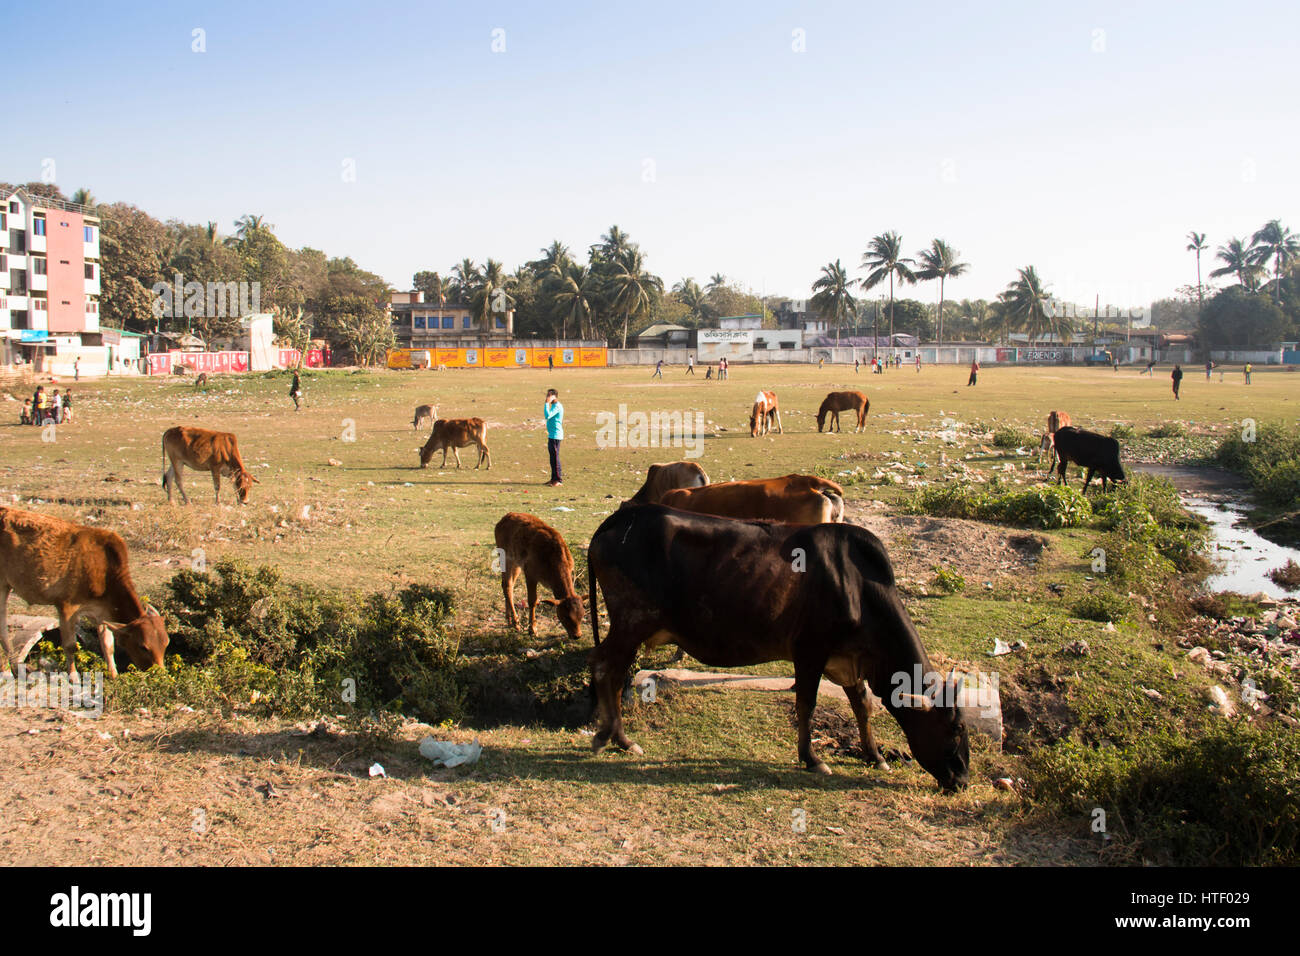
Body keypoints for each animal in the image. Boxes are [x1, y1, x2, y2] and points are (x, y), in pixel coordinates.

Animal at [0, 506, 169, 679]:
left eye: (166, 643)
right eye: (143, 647)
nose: (160, 674)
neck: (104, 568)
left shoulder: (102, 614)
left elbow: (108, 645)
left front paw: (113, 674)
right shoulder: (66, 607)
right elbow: (70, 645)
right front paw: (73, 676)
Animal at [585, 506, 971, 790]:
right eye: (955, 728)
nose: (962, 779)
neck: (860, 587)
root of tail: (621, 519)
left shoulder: (848, 661)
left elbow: (862, 706)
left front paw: (875, 756)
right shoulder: (810, 651)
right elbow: (806, 704)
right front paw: (812, 759)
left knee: (613, 671)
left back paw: (615, 737)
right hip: (631, 622)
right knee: (605, 667)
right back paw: (613, 737)